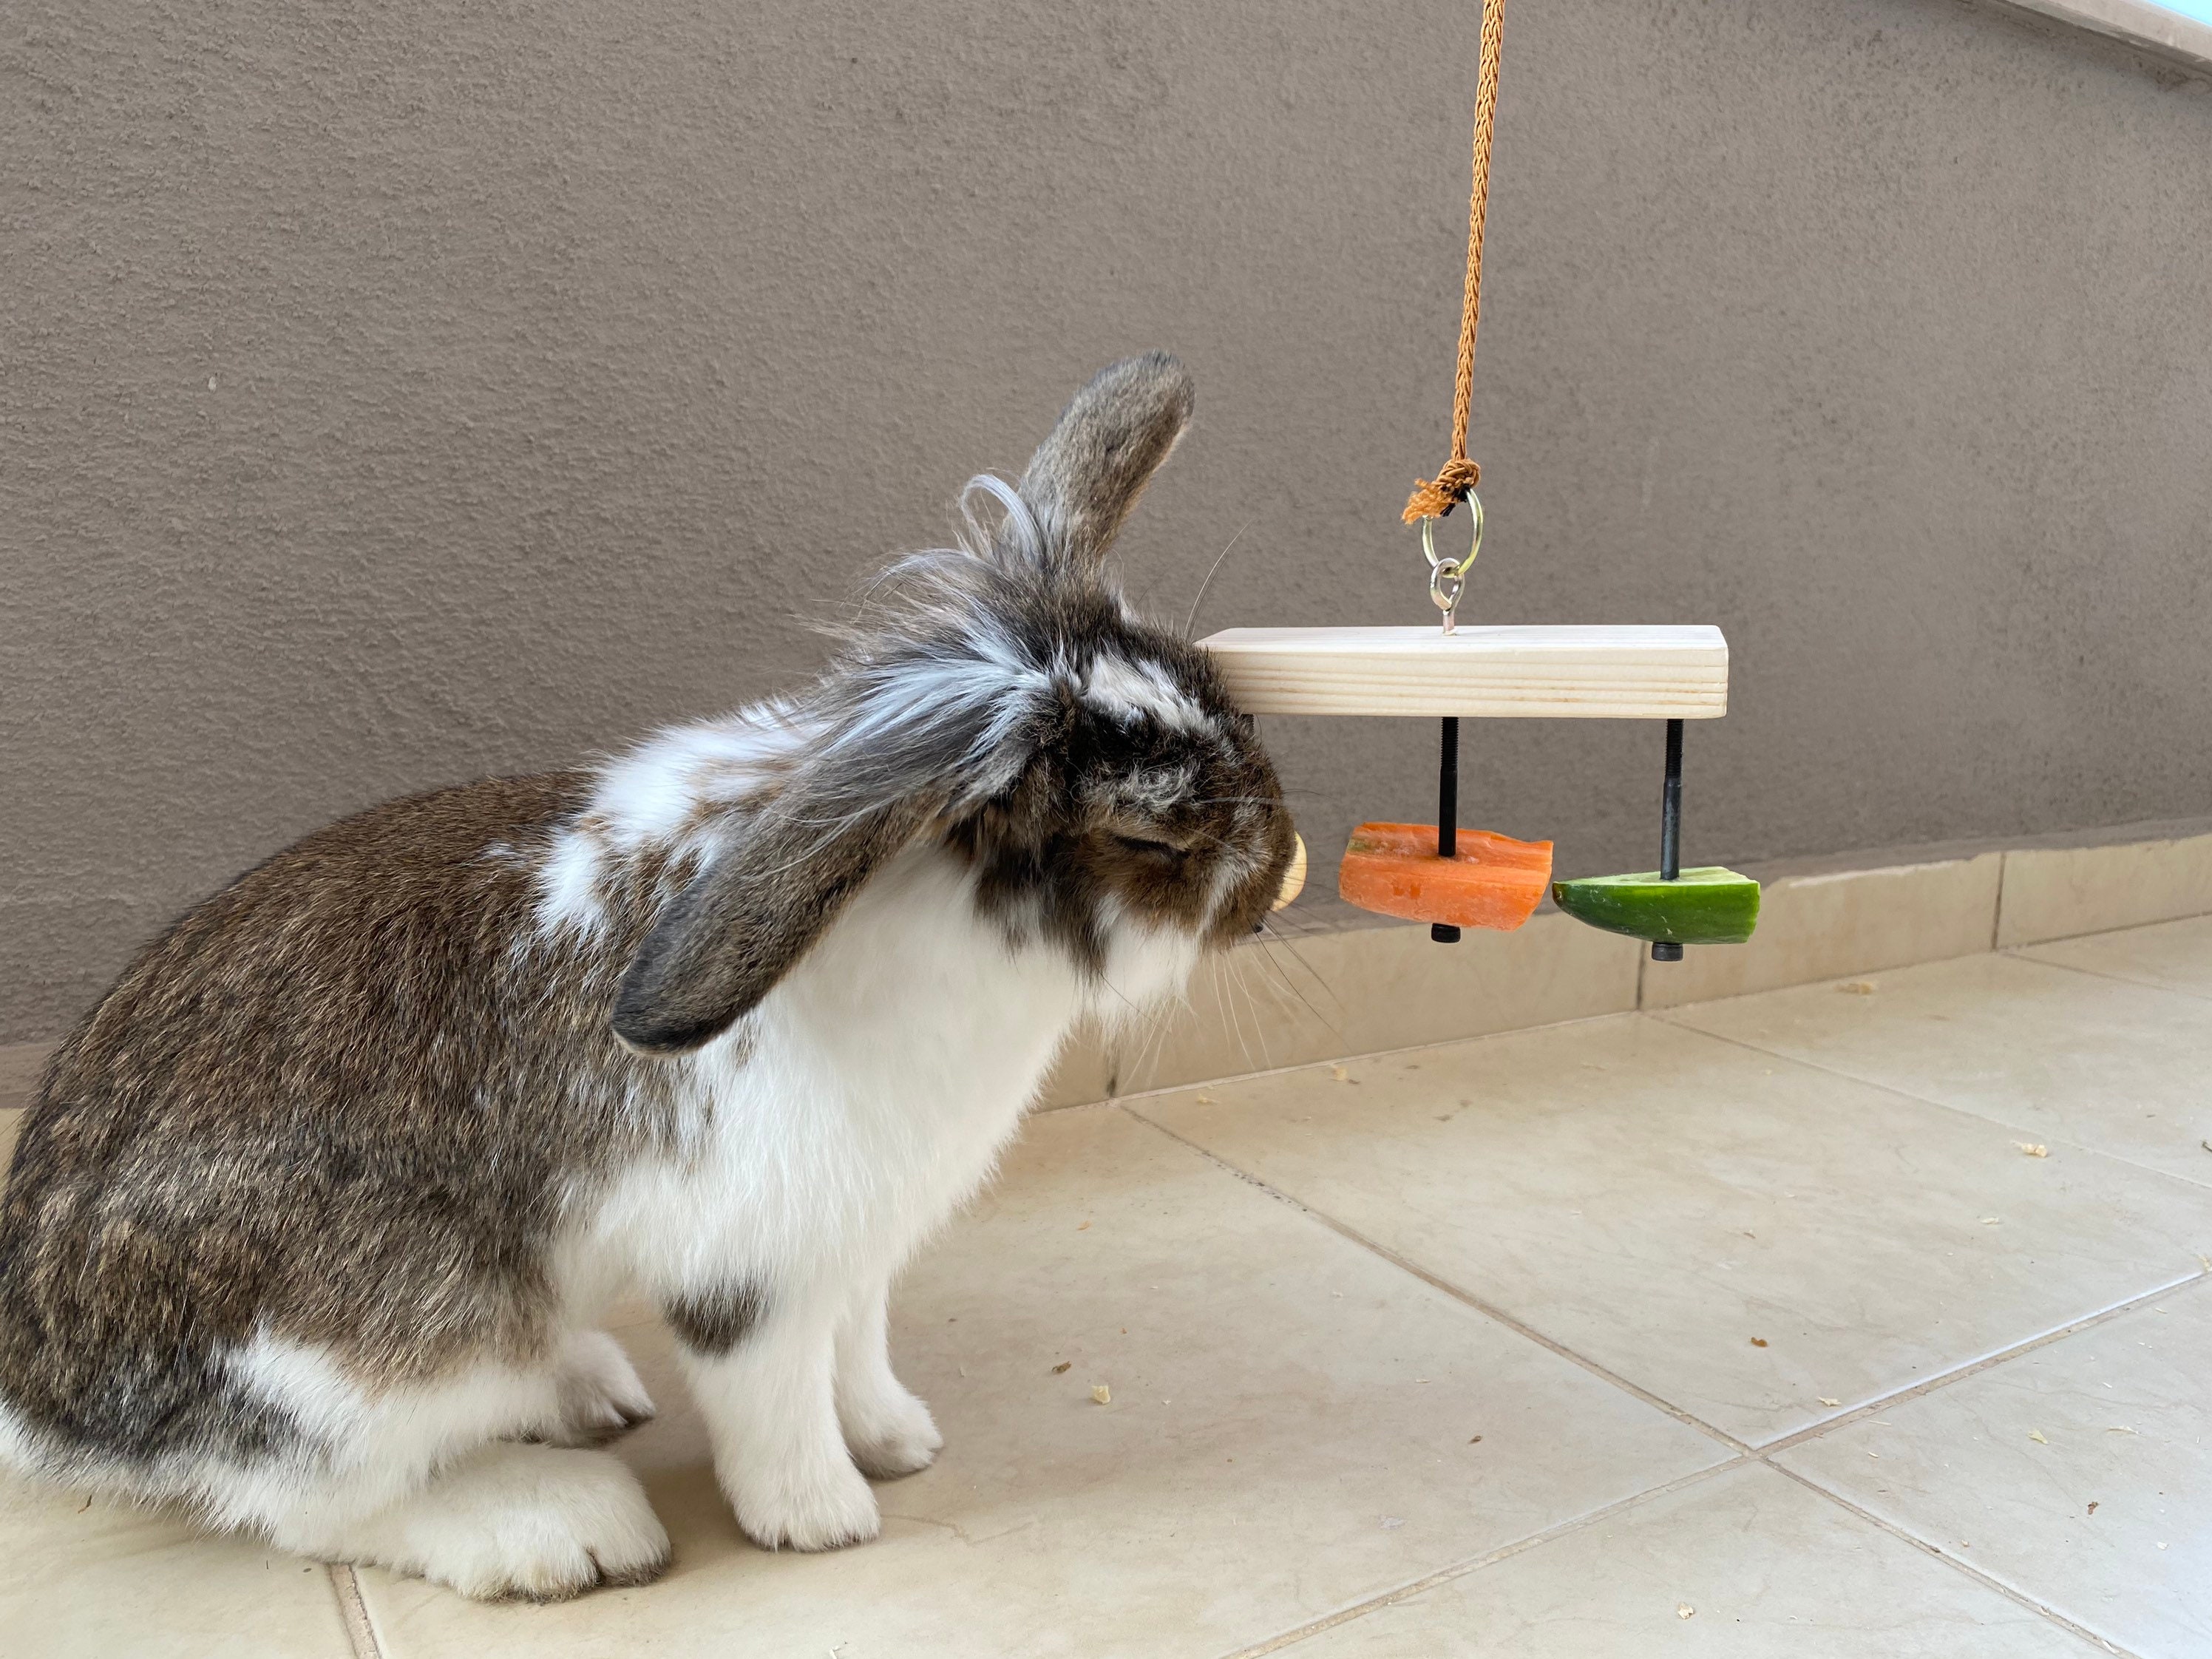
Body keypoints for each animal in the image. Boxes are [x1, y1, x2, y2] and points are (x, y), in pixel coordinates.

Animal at [0, 352, 1296, 1601]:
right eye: (1149, 840)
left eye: (1220, 695)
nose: (1280, 872)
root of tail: (39, 1392)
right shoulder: (753, 1270)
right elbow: (773, 1404)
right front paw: (825, 1520)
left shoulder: (857, 1246)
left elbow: (858, 1353)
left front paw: (900, 1442)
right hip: (371, 1352)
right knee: (314, 1504)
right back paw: (563, 1530)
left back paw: (587, 1395)